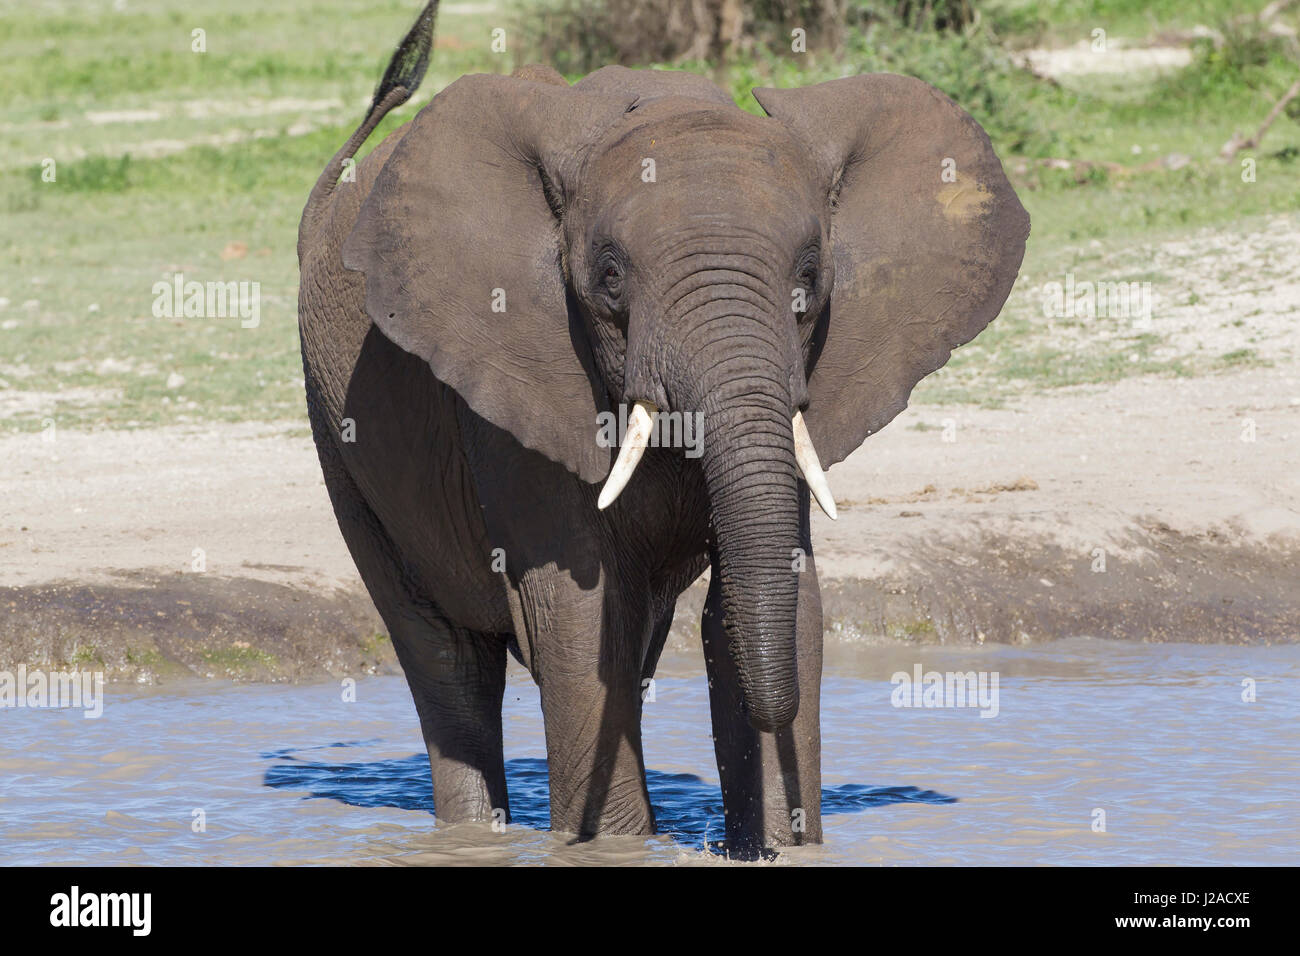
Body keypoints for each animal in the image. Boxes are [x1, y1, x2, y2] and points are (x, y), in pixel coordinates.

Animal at [296, 0, 1028, 854]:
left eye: (810, 280)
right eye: (610, 277)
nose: (754, 839)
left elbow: (771, 604)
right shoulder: (515, 372)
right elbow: (579, 619)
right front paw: (614, 847)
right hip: (334, 430)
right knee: (444, 659)